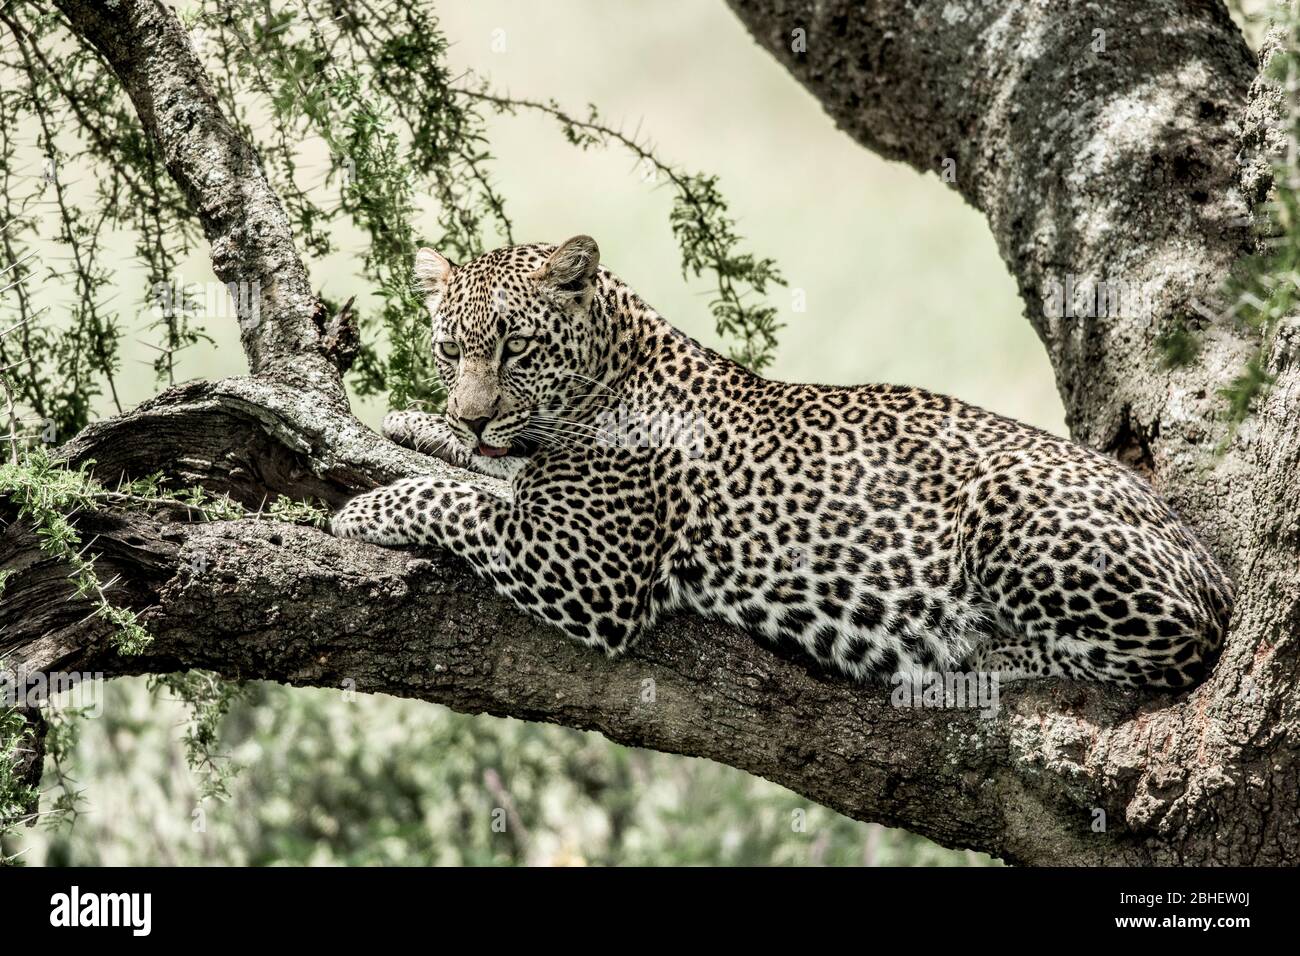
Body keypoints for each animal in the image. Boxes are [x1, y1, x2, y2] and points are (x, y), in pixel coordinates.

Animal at [331, 235, 1234, 689]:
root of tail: (1204, 553)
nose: (472, 412)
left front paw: (365, 509)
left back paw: (976, 652)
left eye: (515, 347)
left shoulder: (587, 567)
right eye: (449, 349)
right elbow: (488, 472)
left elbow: (457, 502)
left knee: (1179, 644)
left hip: (1014, 513)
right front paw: (419, 422)